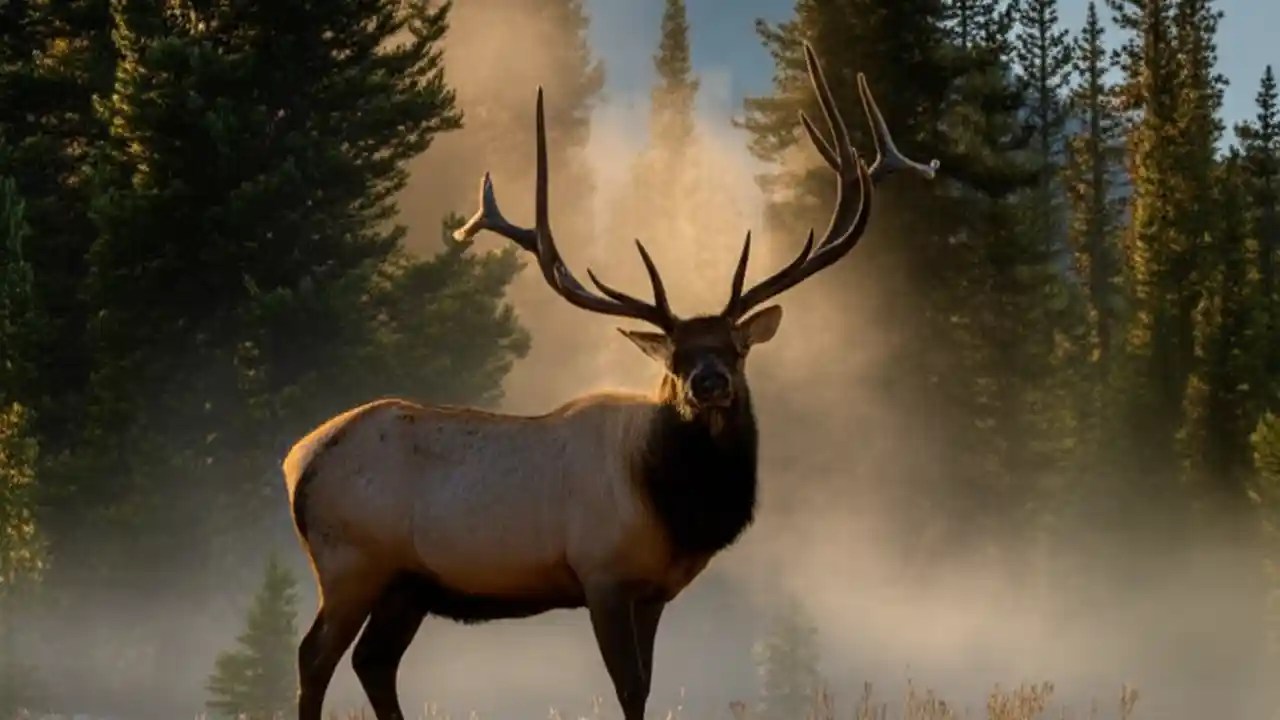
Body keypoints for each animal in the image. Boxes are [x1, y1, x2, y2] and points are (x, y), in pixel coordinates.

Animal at [282, 43, 938, 720]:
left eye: (736, 350)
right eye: (672, 360)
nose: (708, 383)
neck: (675, 505)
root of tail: (296, 460)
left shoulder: (653, 591)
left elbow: (644, 686)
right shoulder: (601, 574)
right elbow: (626, 687)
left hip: (407, 584)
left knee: (373, 662)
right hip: (351, 561)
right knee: (315, 657)